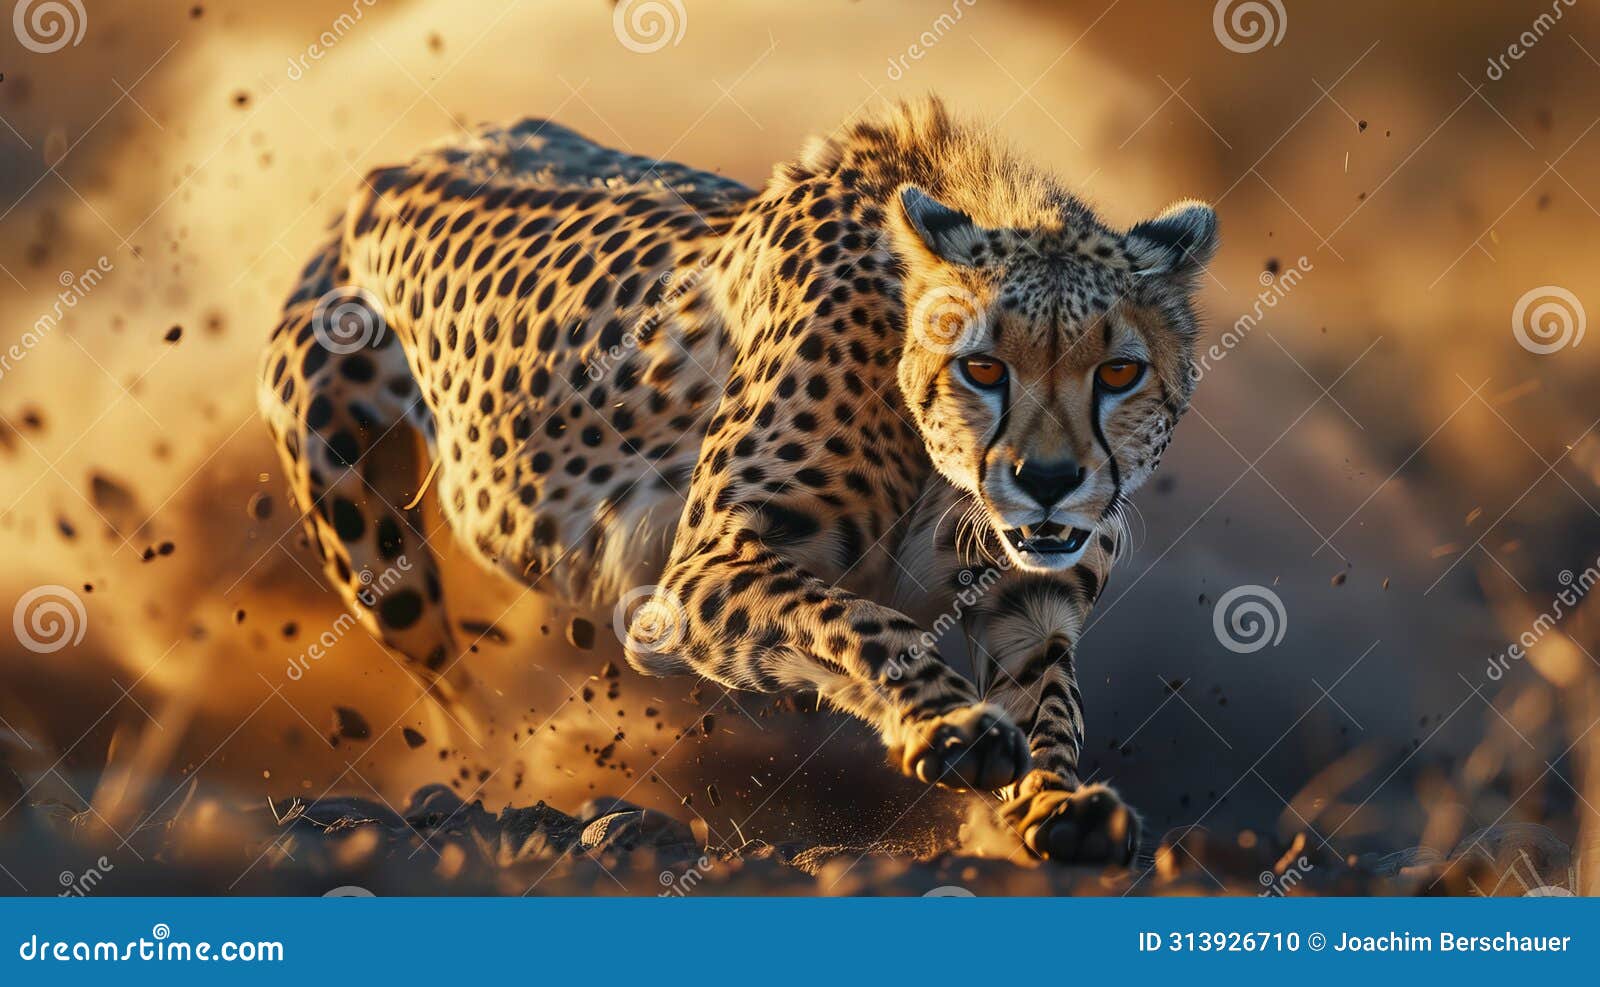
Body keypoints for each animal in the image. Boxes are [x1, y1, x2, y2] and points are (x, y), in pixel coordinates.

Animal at [258, 97, 1218, 866]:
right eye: (982, 367)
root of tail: (397, 166)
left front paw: (1057, 801)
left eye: (1119, 373)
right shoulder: (705, 568)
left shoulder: (1027, 595)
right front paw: (955, 726)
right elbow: (863, 620)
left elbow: (1048, 702)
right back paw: (500, 772)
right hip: (370, 541)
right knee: (454, 688)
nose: (1048, 480)